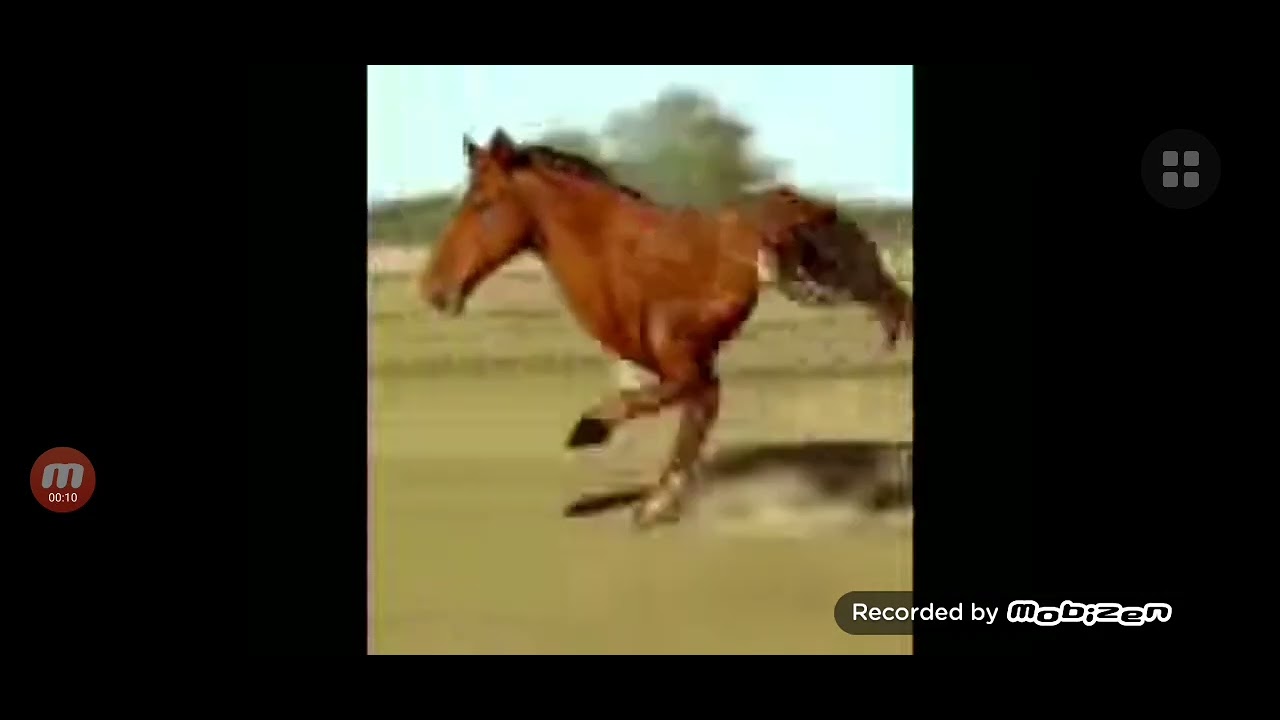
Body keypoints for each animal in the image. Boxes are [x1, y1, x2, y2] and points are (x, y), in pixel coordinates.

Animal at [418, 128, 912, 529]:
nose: (434, 289)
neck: (622, 255)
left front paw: (594, 435)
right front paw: (656, 503)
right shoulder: (677, 361)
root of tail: (806, 204)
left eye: (481, 203)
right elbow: (690, 408)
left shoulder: (684, 356)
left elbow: (675, 401)